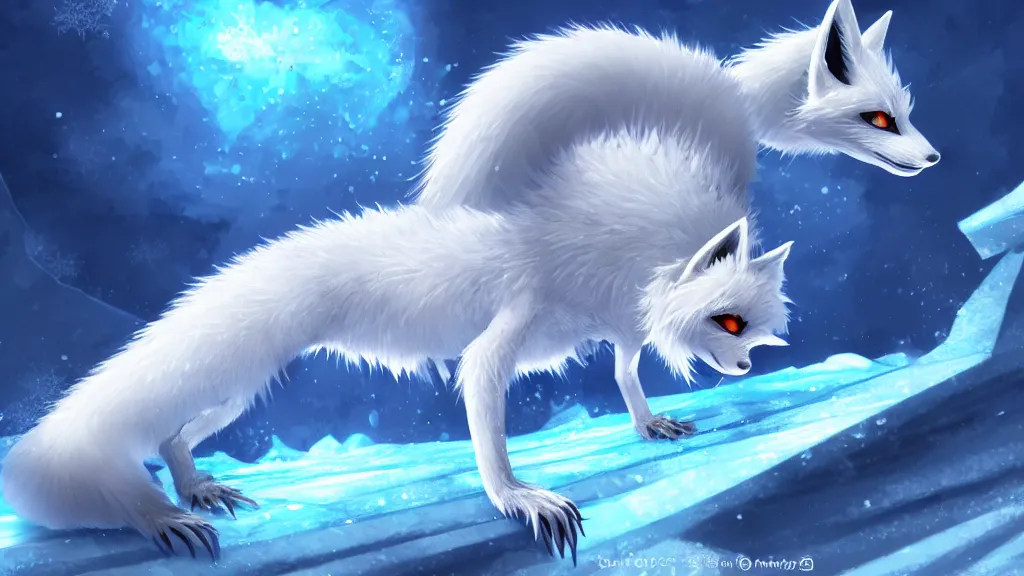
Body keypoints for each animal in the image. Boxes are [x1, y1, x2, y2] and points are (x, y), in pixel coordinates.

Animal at [1, 114, 794, 562]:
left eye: (762, 333)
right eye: (728, 320)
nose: (744, 364)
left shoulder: (614, 324)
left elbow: (628, 374)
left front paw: (649, 421)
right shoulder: (515, 321)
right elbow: (484, 399)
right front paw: (521, 498)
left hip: (241, 387)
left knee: (172, 435)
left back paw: (195, 488)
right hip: (237, 367)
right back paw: (162, 510)